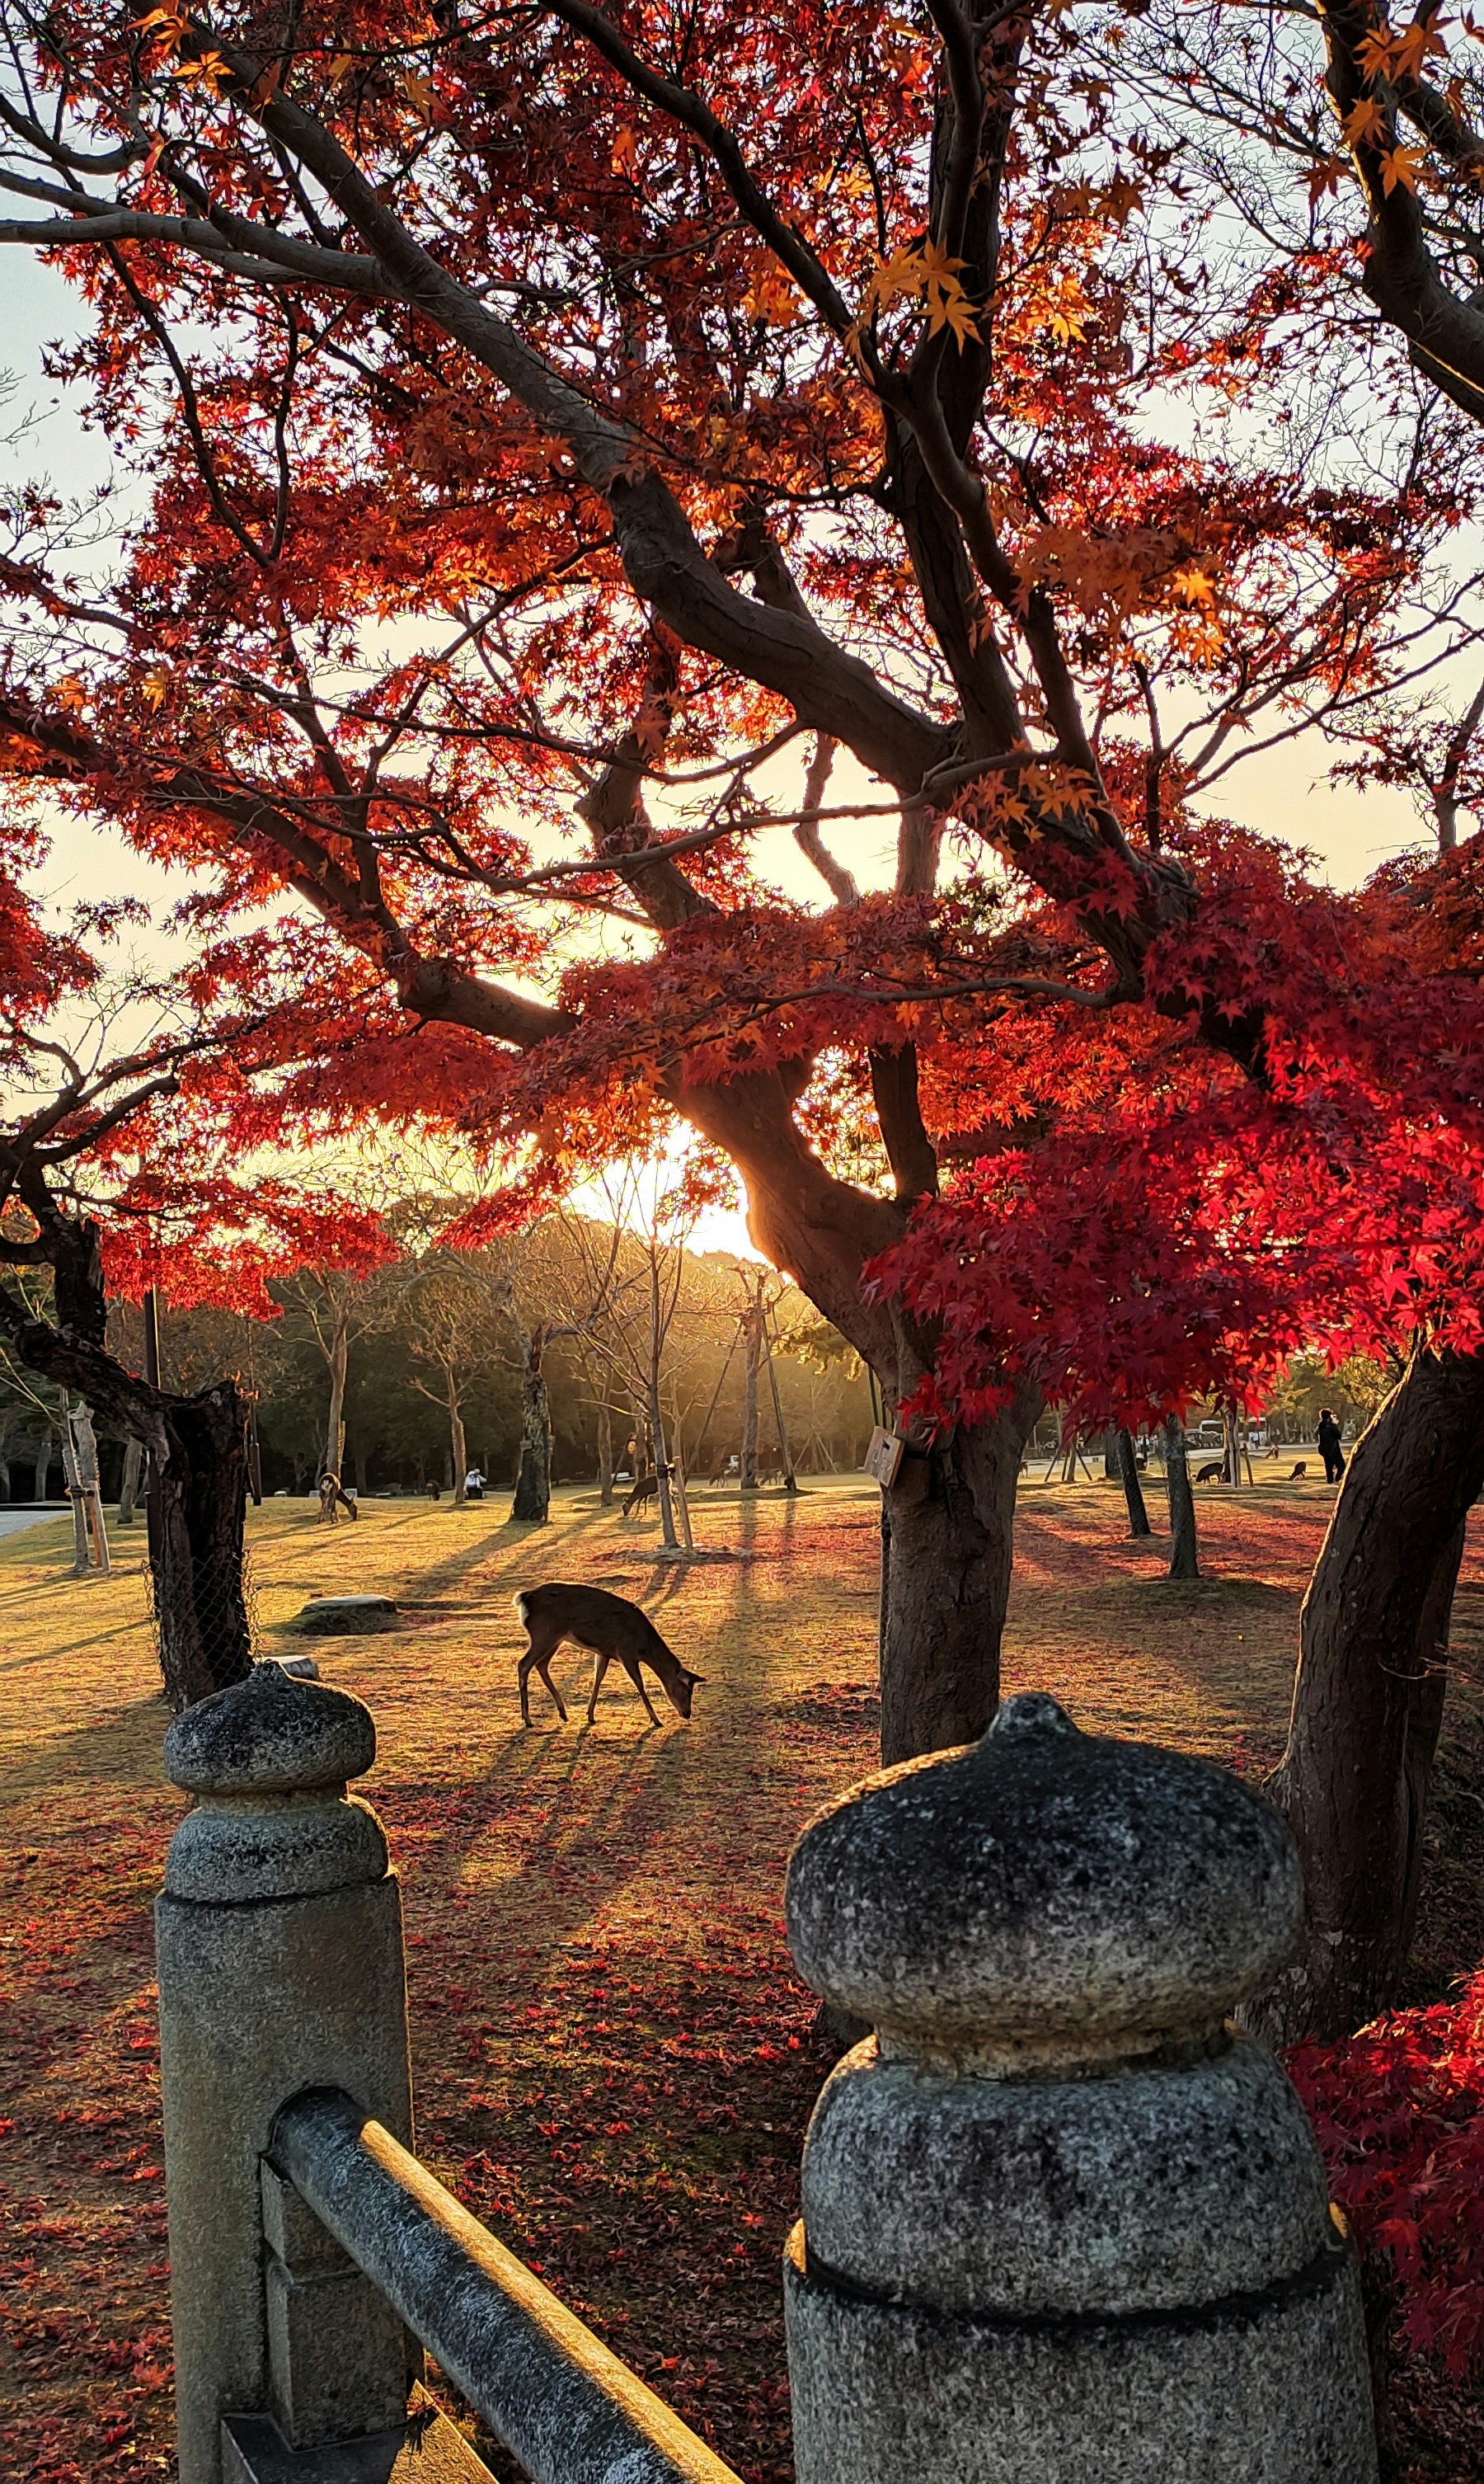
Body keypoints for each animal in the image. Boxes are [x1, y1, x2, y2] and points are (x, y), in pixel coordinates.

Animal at [514, 1583, 704, 1728]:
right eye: (688, 1689)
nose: (687, 1713)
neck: (644, 1645)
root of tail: (524, 1598)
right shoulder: (626, 1653)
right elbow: (640, 1684)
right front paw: (656, 1720)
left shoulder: (605, 1652)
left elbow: (598, 1678)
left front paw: (590, 1715)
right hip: (544, 1633)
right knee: (523, 1664)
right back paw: (527, 1719)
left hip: (555, 1639)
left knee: (541, 1665)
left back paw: (563, 1713)